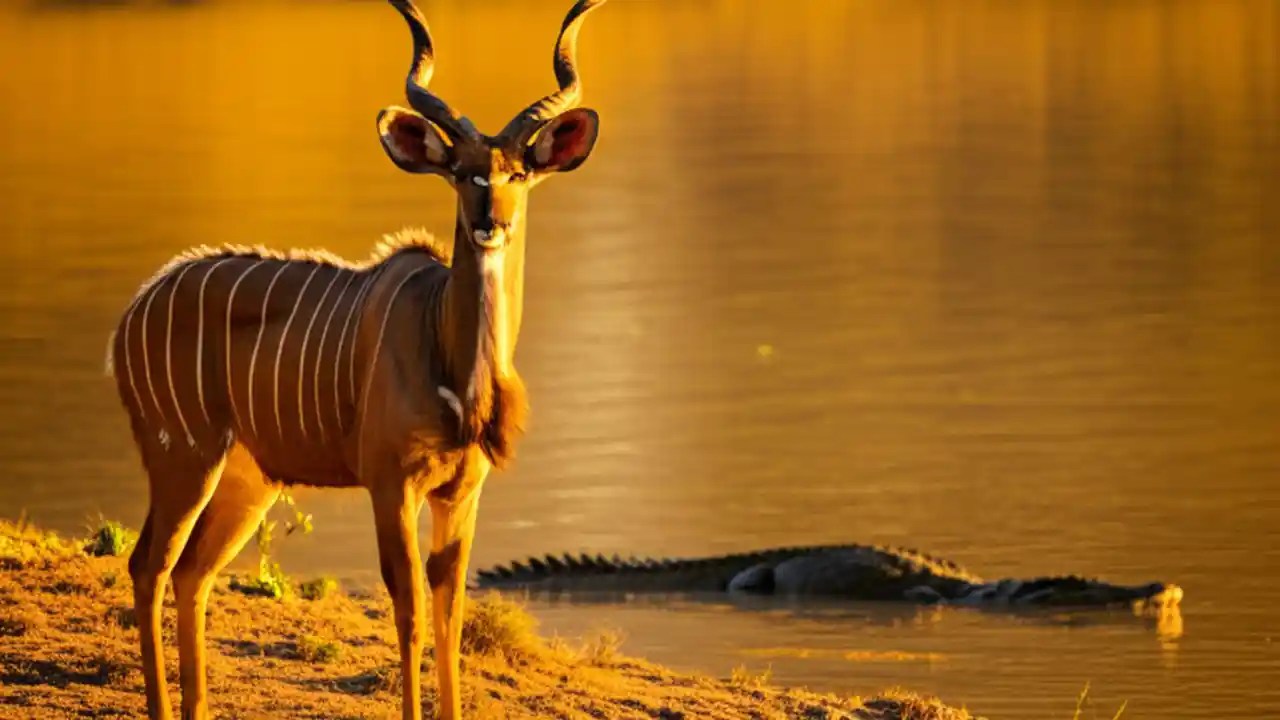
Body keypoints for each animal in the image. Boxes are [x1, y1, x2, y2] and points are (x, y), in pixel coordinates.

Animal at [106, 0, 606, 717]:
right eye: (463, 174)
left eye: (518, 173)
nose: (491, 223)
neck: (449, 356)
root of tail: (134, 311)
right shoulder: (391, 483)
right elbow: (411, 609)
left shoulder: (462, 492)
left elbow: (451, 612)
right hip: (184, 455)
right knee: (150, 563)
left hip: (248, 478)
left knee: (193, 571)